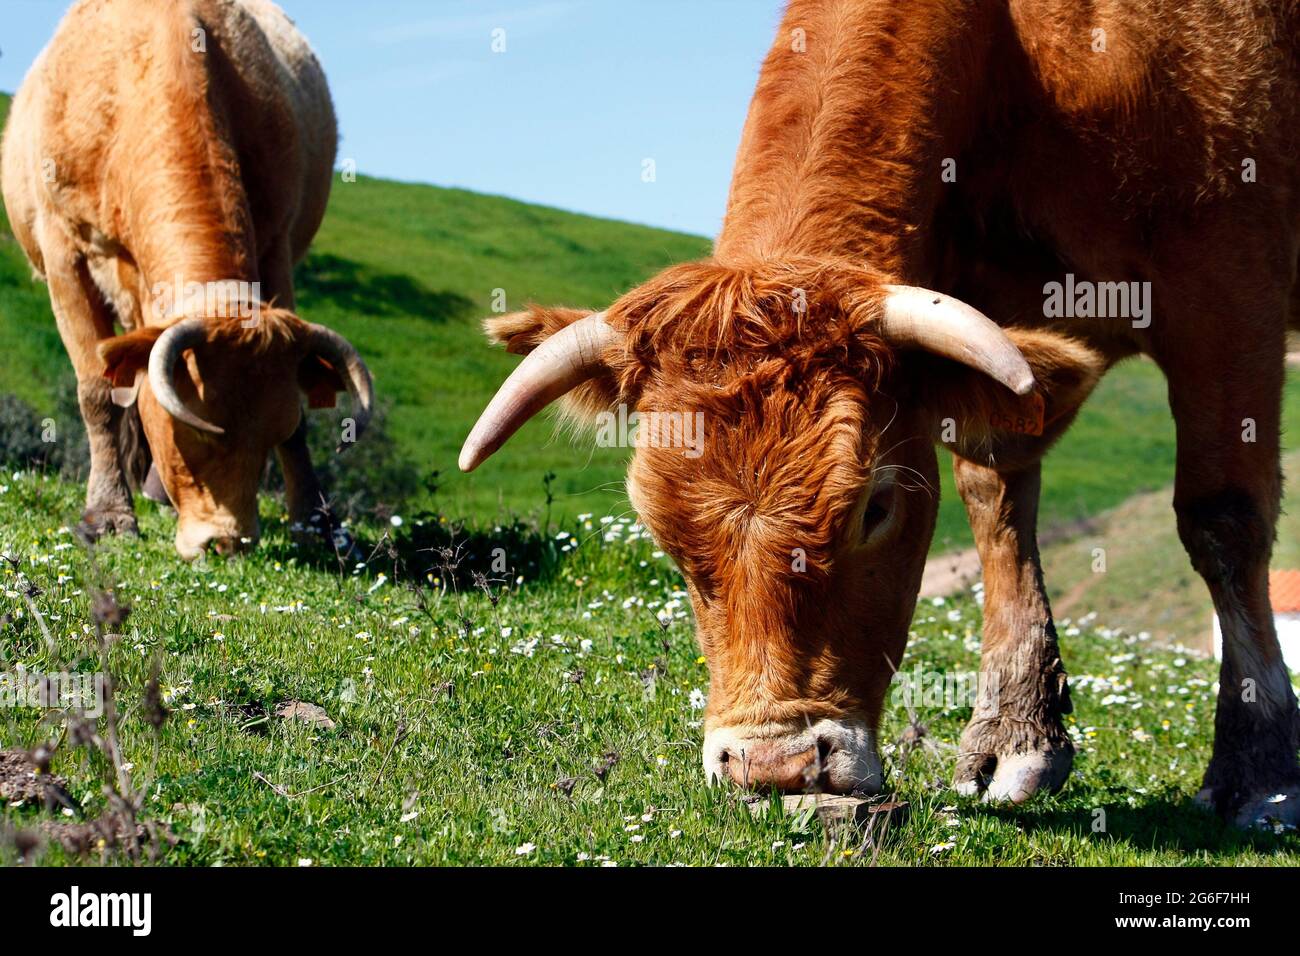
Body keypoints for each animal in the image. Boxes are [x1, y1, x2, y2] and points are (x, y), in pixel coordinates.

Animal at [1, 0, 372, 559]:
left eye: (275, 428)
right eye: (191, 430)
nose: (227, 541)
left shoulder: (277, 245)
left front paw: (317, 523)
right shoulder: (63, 250)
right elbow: (97, 390)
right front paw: (108, 516)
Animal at [461, 0, 1300, 827]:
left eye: (875, 506)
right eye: (661, 530)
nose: (776, 767)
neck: (1029, 59)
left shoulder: (1228, 291)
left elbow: (1223, 520)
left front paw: (1259, 773)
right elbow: (997, 502)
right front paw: (1016, 736)